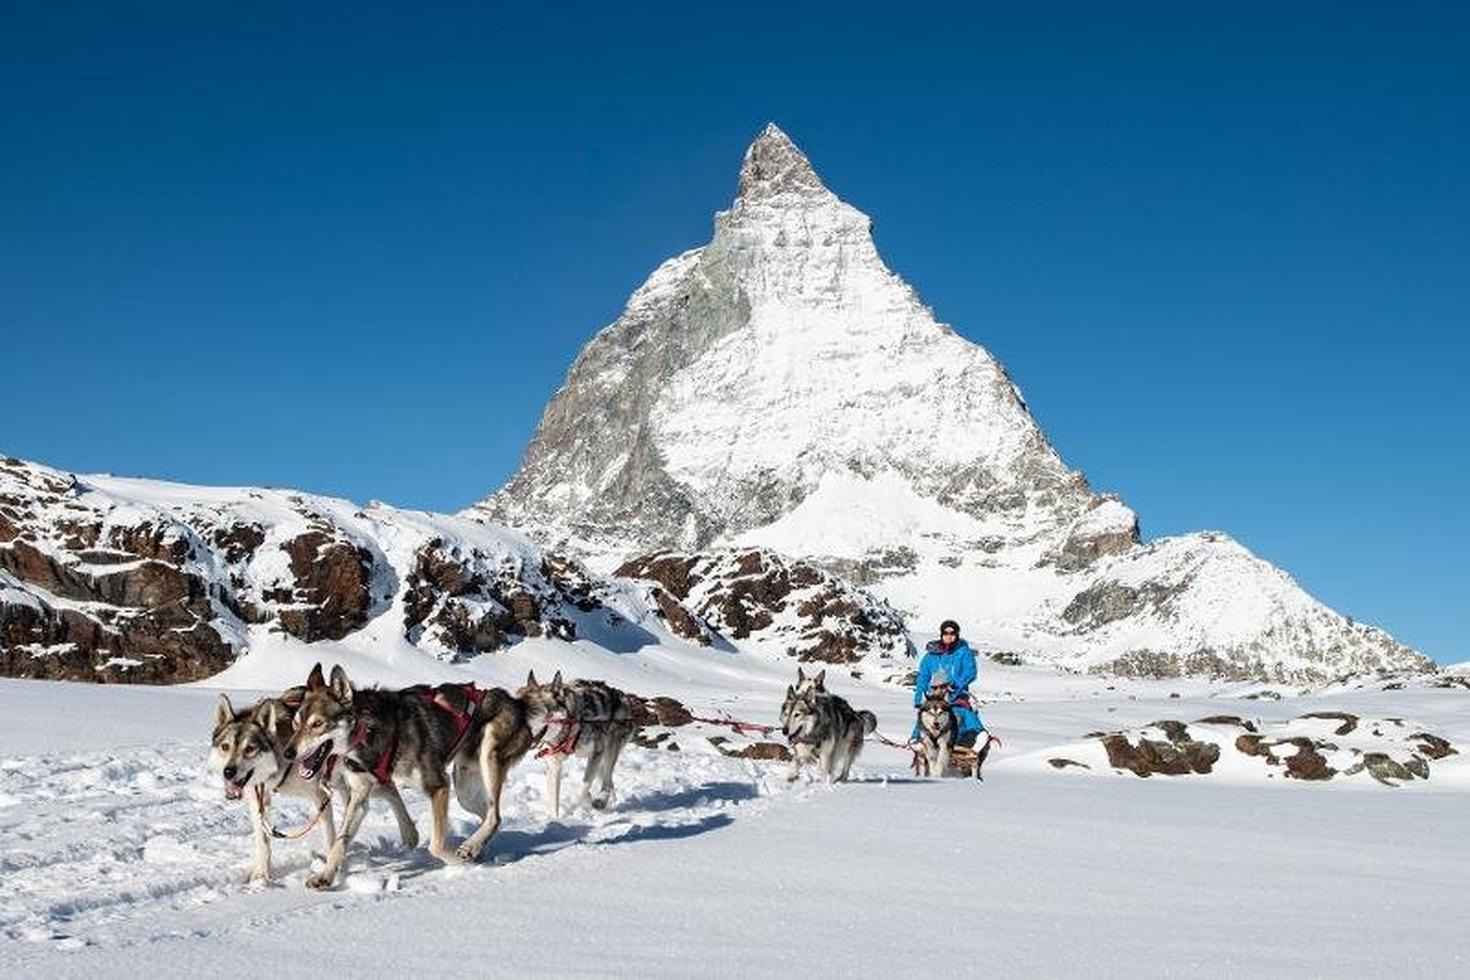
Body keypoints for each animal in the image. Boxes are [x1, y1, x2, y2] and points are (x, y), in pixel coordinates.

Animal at [207, 687, 417, 887]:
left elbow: (330, 838)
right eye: (225, 747)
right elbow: (263, 842)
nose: (229, 772)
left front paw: (333, 869)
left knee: (389, 790)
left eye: (250, 749)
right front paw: (261, 875)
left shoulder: (320, 797)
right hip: (342, 783)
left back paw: (410, 834)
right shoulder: (258, 799)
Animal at [283, 667, 532, 887]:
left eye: (317, 724)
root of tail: (516, 703)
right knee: (489, 814)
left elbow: (436, 846)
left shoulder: (438, 786)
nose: (287, 753)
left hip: (488, 755)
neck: (368, 730)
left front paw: (457, 862)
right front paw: (326, 876)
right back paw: (476, 847)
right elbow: (339, 842)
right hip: (464, 789)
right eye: (295, 724)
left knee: (495, 816)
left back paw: (470, 849)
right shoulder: (361, 795)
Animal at [517, 669, 632, 816]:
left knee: (607, 778)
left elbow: (584, 787)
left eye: (533, 710)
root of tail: (622, 696)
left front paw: (577, 810)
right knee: (608, 779)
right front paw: (555, 818)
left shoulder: (596, 753)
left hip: (610, 749)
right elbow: (554, 801)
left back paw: (601, 800)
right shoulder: (554, 765)